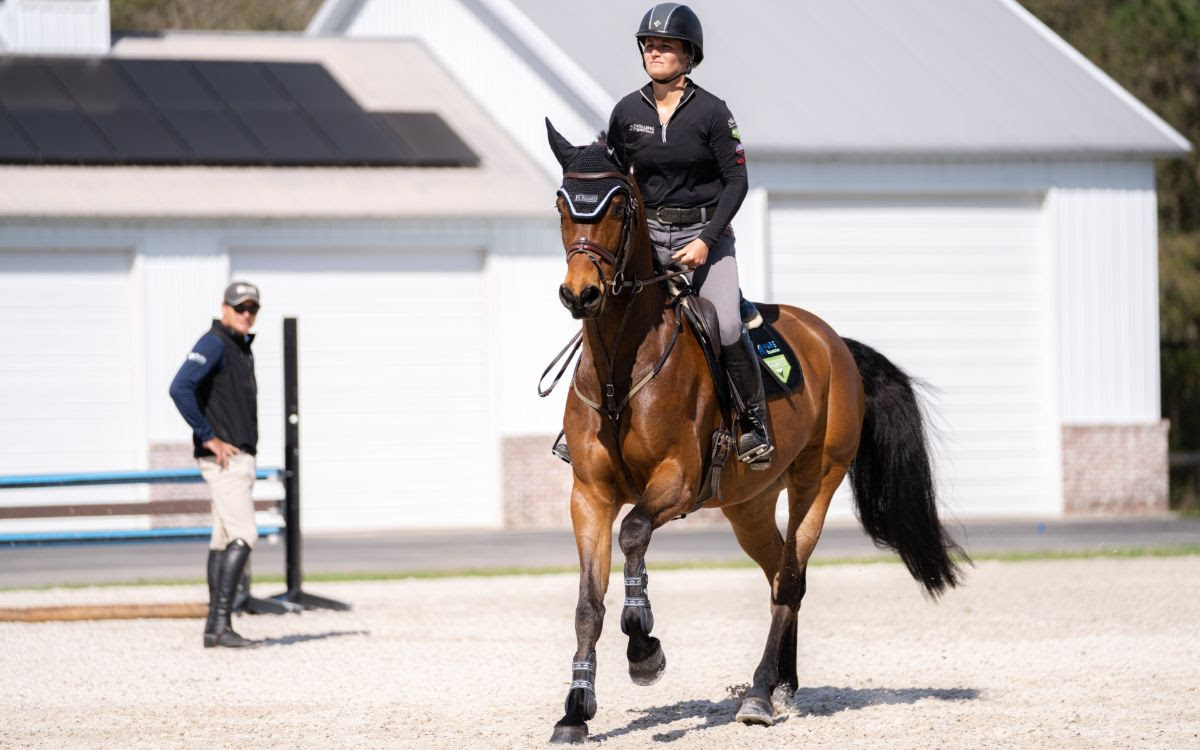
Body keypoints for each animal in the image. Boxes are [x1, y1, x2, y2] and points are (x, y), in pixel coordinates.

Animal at [542, 120, 966, 744]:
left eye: (618, 206)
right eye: (562, 204)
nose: (581, 294)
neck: (622, 365)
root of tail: (834, 342)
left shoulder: (677, 481)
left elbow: (635, 533)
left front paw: (644, 647)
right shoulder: (589, 496)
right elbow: (586, 605)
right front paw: (575, 711)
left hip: (817, 480)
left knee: (790, 579)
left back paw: (762, 694)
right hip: (749, 505)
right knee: (779, 577)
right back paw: (784, 684)